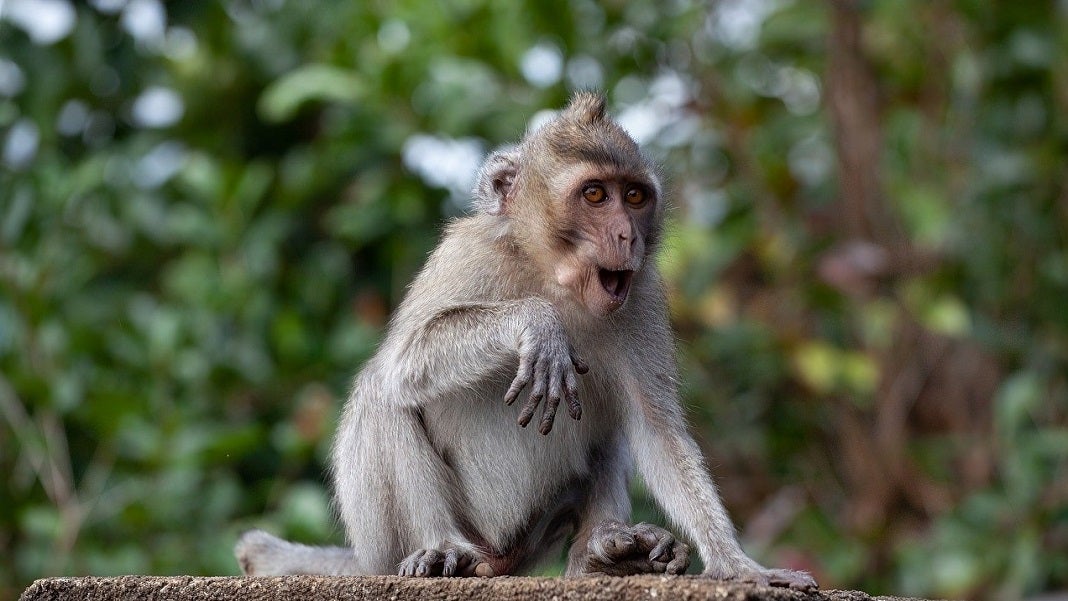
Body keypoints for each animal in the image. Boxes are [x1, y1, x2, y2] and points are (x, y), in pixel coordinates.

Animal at [235, 92, 817, 589]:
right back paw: (442, 548)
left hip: (535, 534)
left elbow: (656, 429)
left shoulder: (643, 296)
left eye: (634, 196)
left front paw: (737, 565)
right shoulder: (466, 254)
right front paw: (537, 325)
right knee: (383, 390)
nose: (627, 235)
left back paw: (602, 554)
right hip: (396, 542)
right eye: (594, 194)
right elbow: (405, 358)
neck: (552, 274)